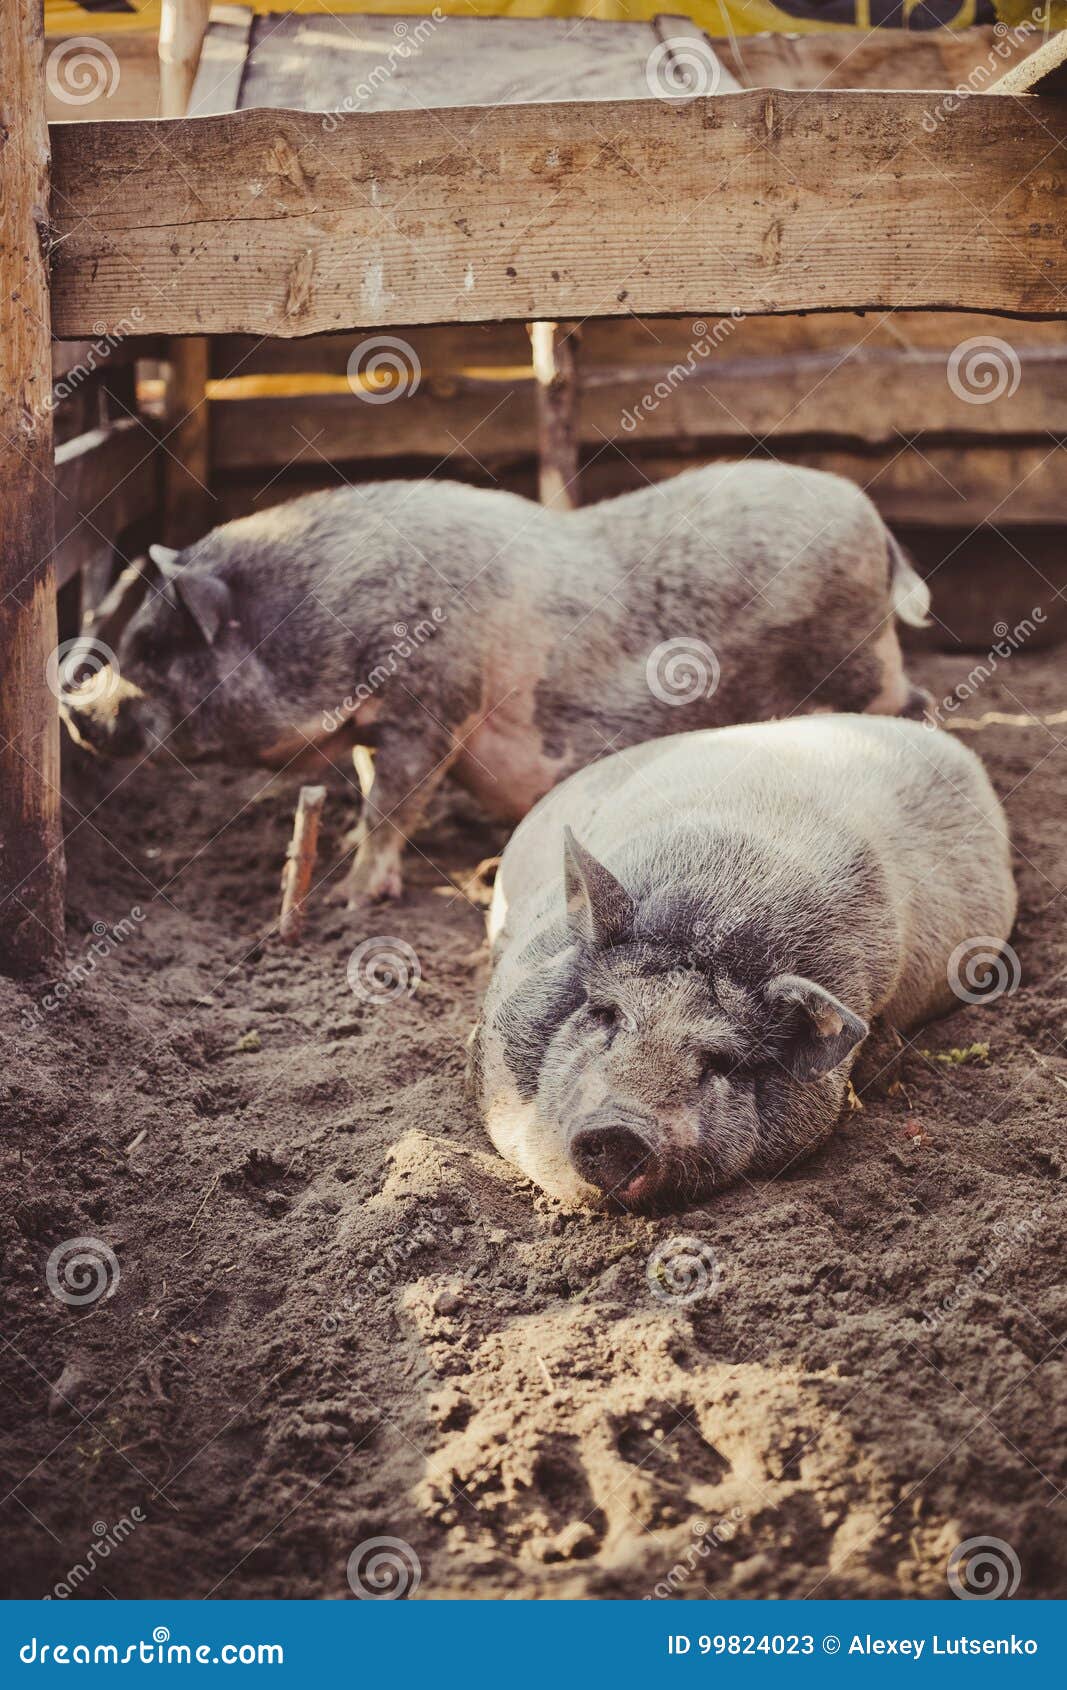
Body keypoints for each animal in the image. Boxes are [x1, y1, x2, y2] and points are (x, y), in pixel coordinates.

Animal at [60, 463, 931, 906]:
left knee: (910, 705)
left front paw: (355, 900)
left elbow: (392, 803)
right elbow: (374, 791)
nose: (73, 710)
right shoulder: (383, 724)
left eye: (154, 648)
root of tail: (876, 520)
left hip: (860, 656)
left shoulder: (430, 706)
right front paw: (344, 856)